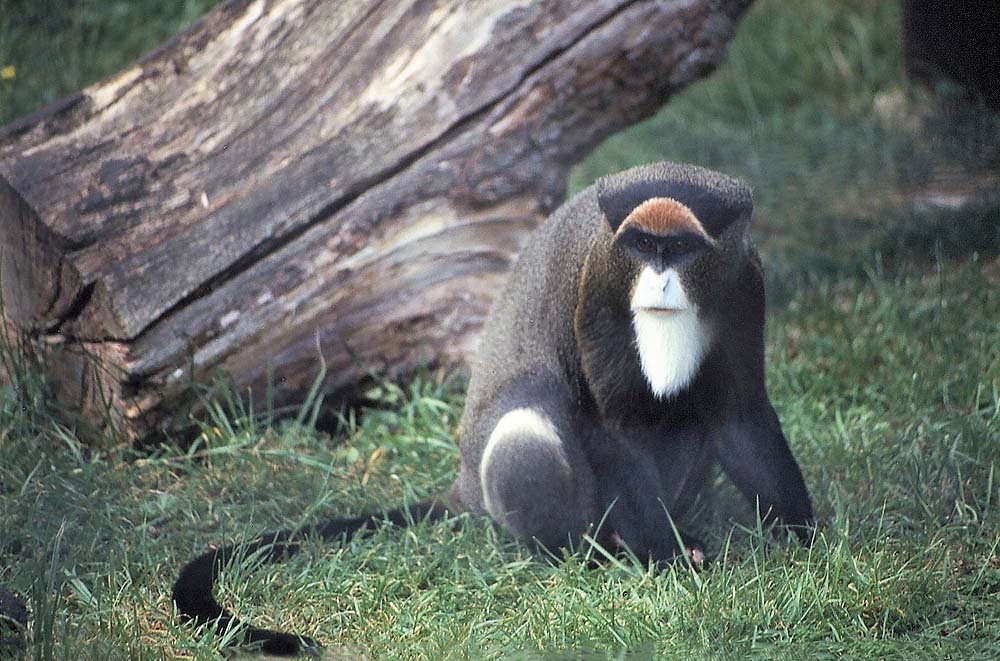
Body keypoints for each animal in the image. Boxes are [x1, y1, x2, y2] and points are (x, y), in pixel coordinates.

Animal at [172, 161, 814, 656]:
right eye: (642, 246)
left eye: (679, 249)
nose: (658, 279)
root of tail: (463, 489)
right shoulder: (593, 283)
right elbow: (608, 427)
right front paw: (669, 559)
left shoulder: (744, 280)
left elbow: (738, 414)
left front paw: (808, 543)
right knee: (526, 429)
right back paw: (595, 555)